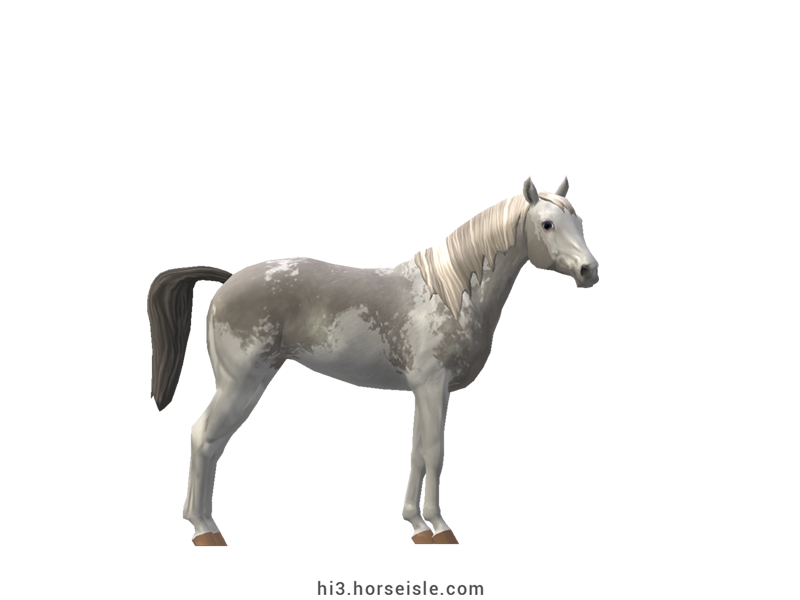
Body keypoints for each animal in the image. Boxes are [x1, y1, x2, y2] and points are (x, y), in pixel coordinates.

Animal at [148, 176, 598, 539]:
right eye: (547, 224)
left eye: (577, 220)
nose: (588, 270)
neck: (450, 292)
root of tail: (224, 284)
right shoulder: (431, 385)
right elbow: (435, 451)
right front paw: (439, 525)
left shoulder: (426, 388)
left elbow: (418, 452)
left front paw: (414, 521)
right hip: (239, 384)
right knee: (201, 437)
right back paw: (201, 527)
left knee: (206, 441)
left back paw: (200, 520)